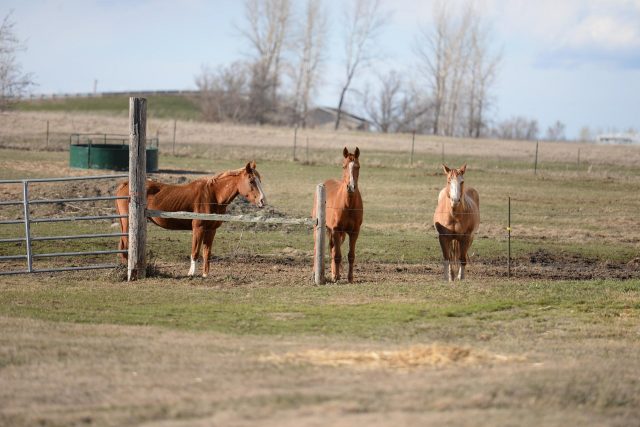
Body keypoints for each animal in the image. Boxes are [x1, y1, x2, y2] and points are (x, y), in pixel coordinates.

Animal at [115, 161, 266, 278]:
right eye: (251, 181)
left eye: (260, 180)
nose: (262, 201)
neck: (213, 196)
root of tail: (125, 184)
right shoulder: (198, 228)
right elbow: (195, 252)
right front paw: (191, 274)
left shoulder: (211, 230)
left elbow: (207, 252)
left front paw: (205, 275)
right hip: (127, 223)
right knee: (125, 244)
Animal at [313, 147, 363, 283]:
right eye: (343, 166)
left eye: (358, 166)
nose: (351, 187)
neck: (348, 204)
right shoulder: (336, 229)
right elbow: (337, 255)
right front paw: (335, 277)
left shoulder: (354, 232)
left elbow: (350, 255)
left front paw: (349, 278)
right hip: (319, 228)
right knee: (317, 248)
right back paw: (315, 272)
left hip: (341, 234)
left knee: (333, 248)